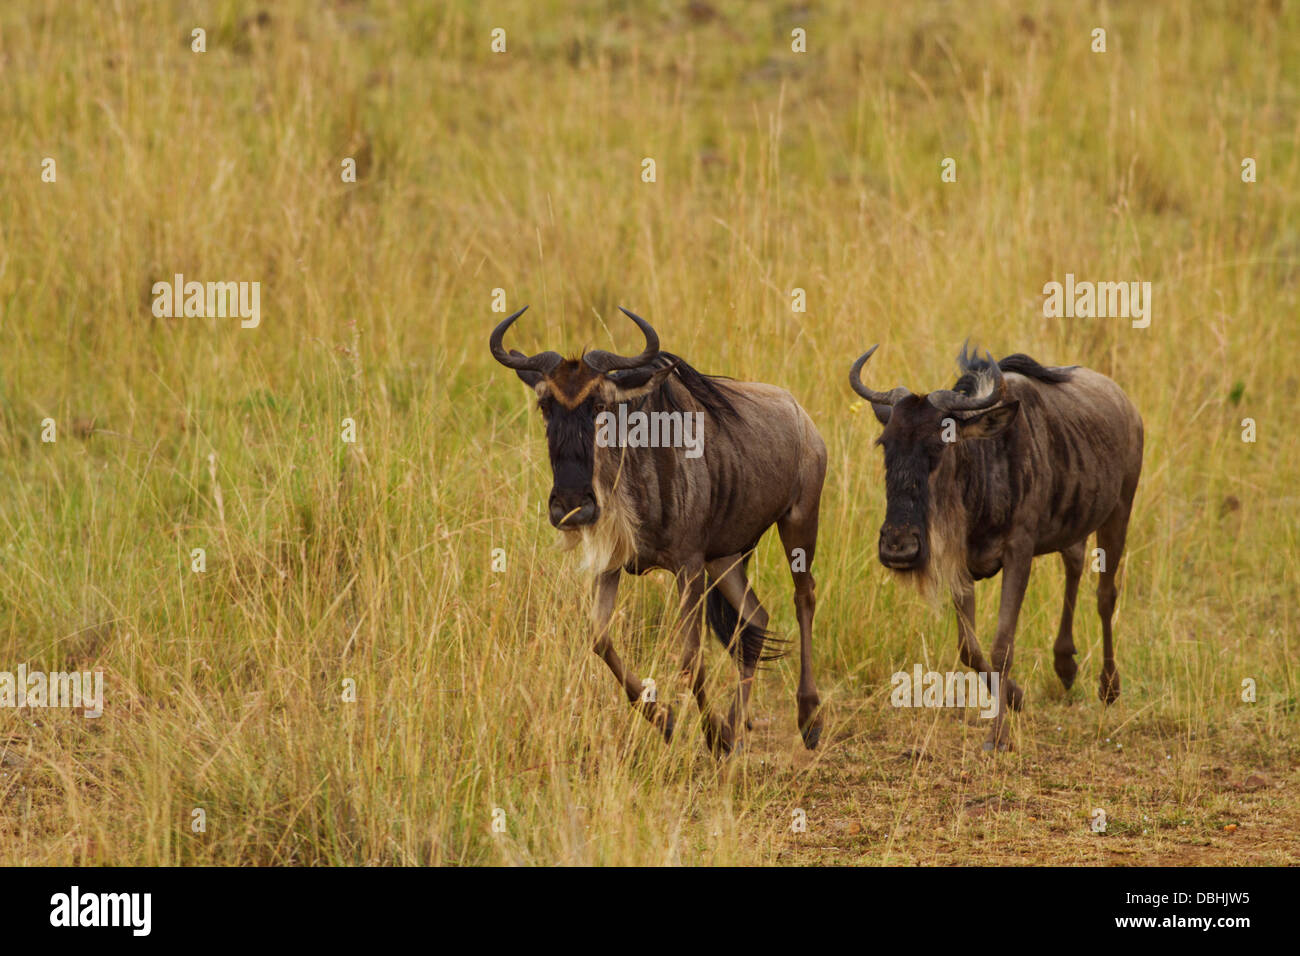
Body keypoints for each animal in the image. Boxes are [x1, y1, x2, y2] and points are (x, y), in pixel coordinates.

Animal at [491, 307, 826, 754]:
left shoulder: (688, 567)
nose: (572, 506)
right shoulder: (613, 562)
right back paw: (737, 726)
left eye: (600, 404)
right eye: (545, 405)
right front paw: (666, 718)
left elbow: (690, 657)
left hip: (799, 522)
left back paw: (808, 719)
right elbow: (599, 639)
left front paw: (711, 733)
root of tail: (802, 416)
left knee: (803, 597)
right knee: (754, 619)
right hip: (725, 557)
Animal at [849, 343, 1143, 750]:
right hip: (1075, 522)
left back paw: (1109, 686)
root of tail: (1127, 405)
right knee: (1074, 563)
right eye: (885, 445)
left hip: (1119, 511)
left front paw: (999, 736)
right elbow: (969, 649)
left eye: (940, 445)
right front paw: (1015, 697)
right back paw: (1065, 665)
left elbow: (1002, 647)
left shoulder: (1019, 553)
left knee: (1105, 595)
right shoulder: (959, 563)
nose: (898, 548)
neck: (984, 468)